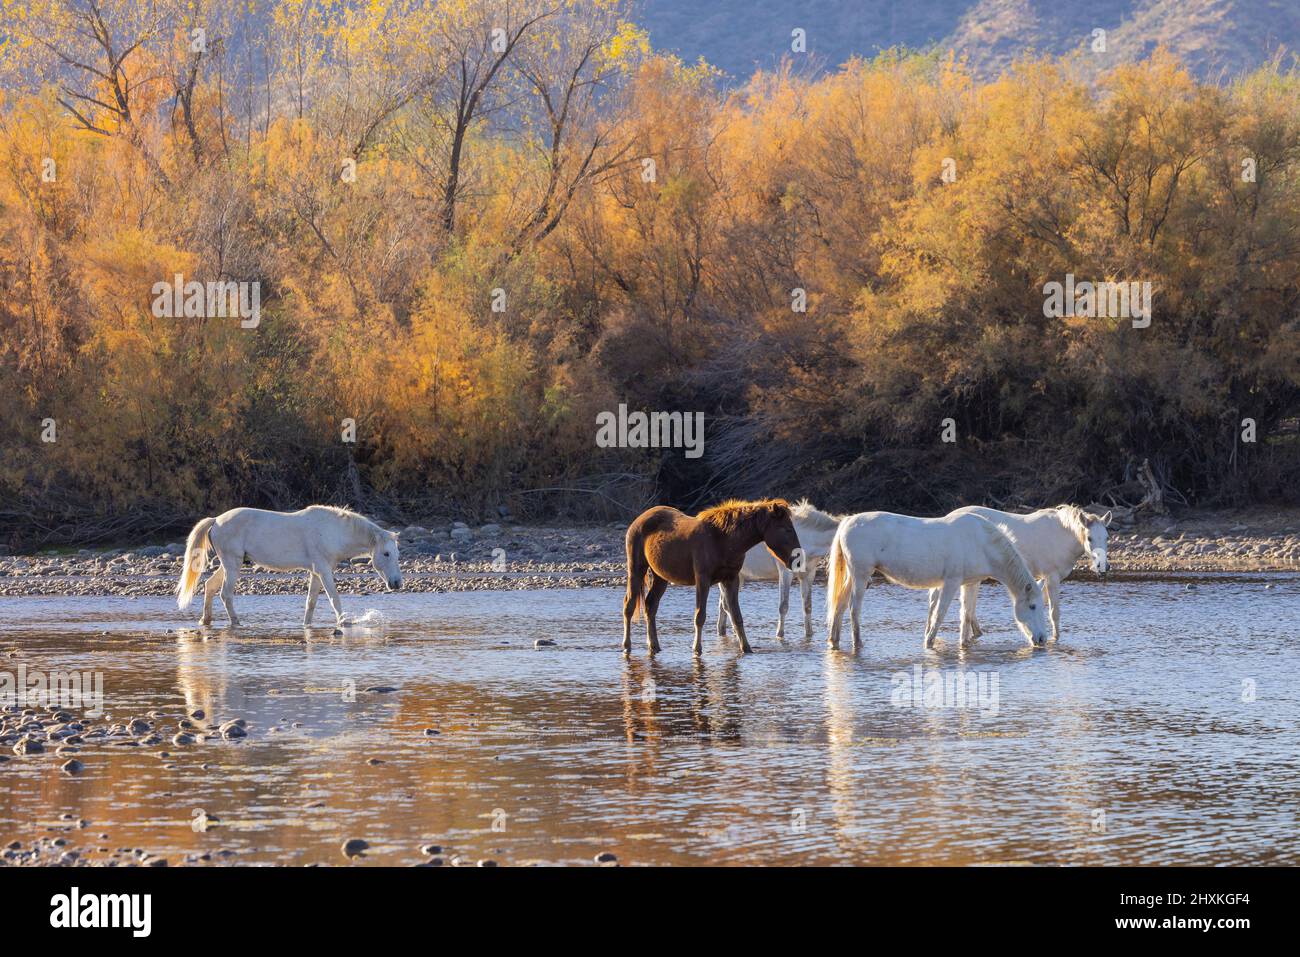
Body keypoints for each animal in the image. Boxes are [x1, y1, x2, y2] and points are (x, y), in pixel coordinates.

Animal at [176, 505, 402, 627]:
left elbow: (311, 602)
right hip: (232, 564)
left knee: (210, 587)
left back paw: (205, 621)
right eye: (386, 553)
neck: (333, 531)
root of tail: (216, 520)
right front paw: (344, 622)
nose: (397, 584)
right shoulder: (323, 570)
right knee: (225, 594)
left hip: (229, 564)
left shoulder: (316, 572)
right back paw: (236, 622)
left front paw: (306, 626)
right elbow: (334, 598)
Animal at [623, 499, 802, 656]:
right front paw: (697, 649)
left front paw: (746, 649)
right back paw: (627, 646)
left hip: (660, 576)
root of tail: (638, 520)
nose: (798, 559)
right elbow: (700, 616)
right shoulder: (703, 579)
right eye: (787, 529)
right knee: (629, 606)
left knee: (650, 606)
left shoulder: (731, 579)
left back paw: (654, 646)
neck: (723, 539)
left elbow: (737, 617)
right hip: (636, 569)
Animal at [716, 499, 845, 641]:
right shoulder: (786, 572)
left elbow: (807, 606)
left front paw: (809, 635)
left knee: (724, 606)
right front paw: (779, 635)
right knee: (726, 605)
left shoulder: (808, 574)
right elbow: (783, 606)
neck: (807, 538)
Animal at [826, 511, 1050, 650]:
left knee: (840, 606)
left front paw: (964, 645)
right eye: (1032, 606)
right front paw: (929, 643)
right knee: (854, 609)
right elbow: (940, 614)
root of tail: (848, 521)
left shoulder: (970, 583)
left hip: (852, 575)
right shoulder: (951, 582)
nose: (1042, 639)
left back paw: (833, 640)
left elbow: (966, 614)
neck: (981, 542)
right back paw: (858, 643)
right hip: (861, 574)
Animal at [948, 504, 1111, 643]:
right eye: (1089, 538)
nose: (1103, 566)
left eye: (1107, 537)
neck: (1062, 538)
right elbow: (1054, 613)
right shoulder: (1052, 577)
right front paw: (1055, 639)